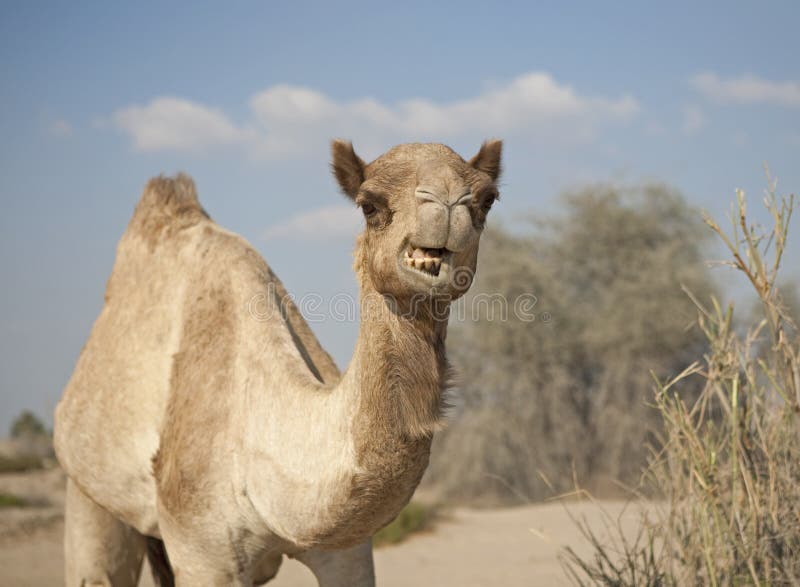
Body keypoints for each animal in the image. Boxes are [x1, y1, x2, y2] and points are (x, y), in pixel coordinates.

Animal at [53, 139, 502, 586]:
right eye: (369, 205)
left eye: (486, 200)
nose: (447, 202)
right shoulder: (203, 553)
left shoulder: (348, 551)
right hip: (87, 487)